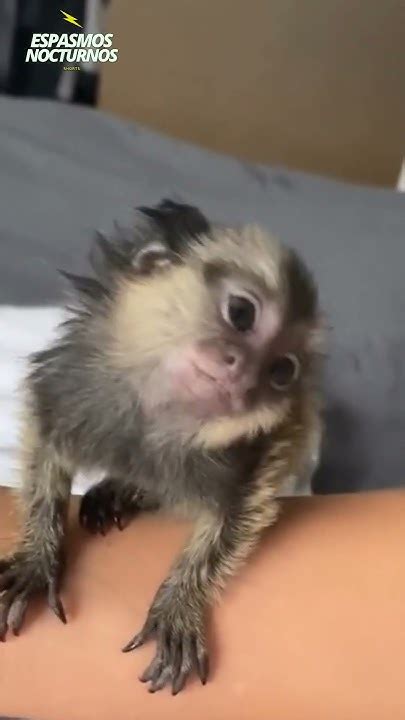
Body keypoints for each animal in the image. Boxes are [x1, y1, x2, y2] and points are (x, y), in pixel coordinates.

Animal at [0, 199, 323, 694]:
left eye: (281, 371)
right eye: (241, 313)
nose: (247, 379)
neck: (158, 416)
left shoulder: (252, 453)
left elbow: (235, 518)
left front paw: (180, 602)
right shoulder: (74, 387)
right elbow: (45, 448)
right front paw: (39, 555)